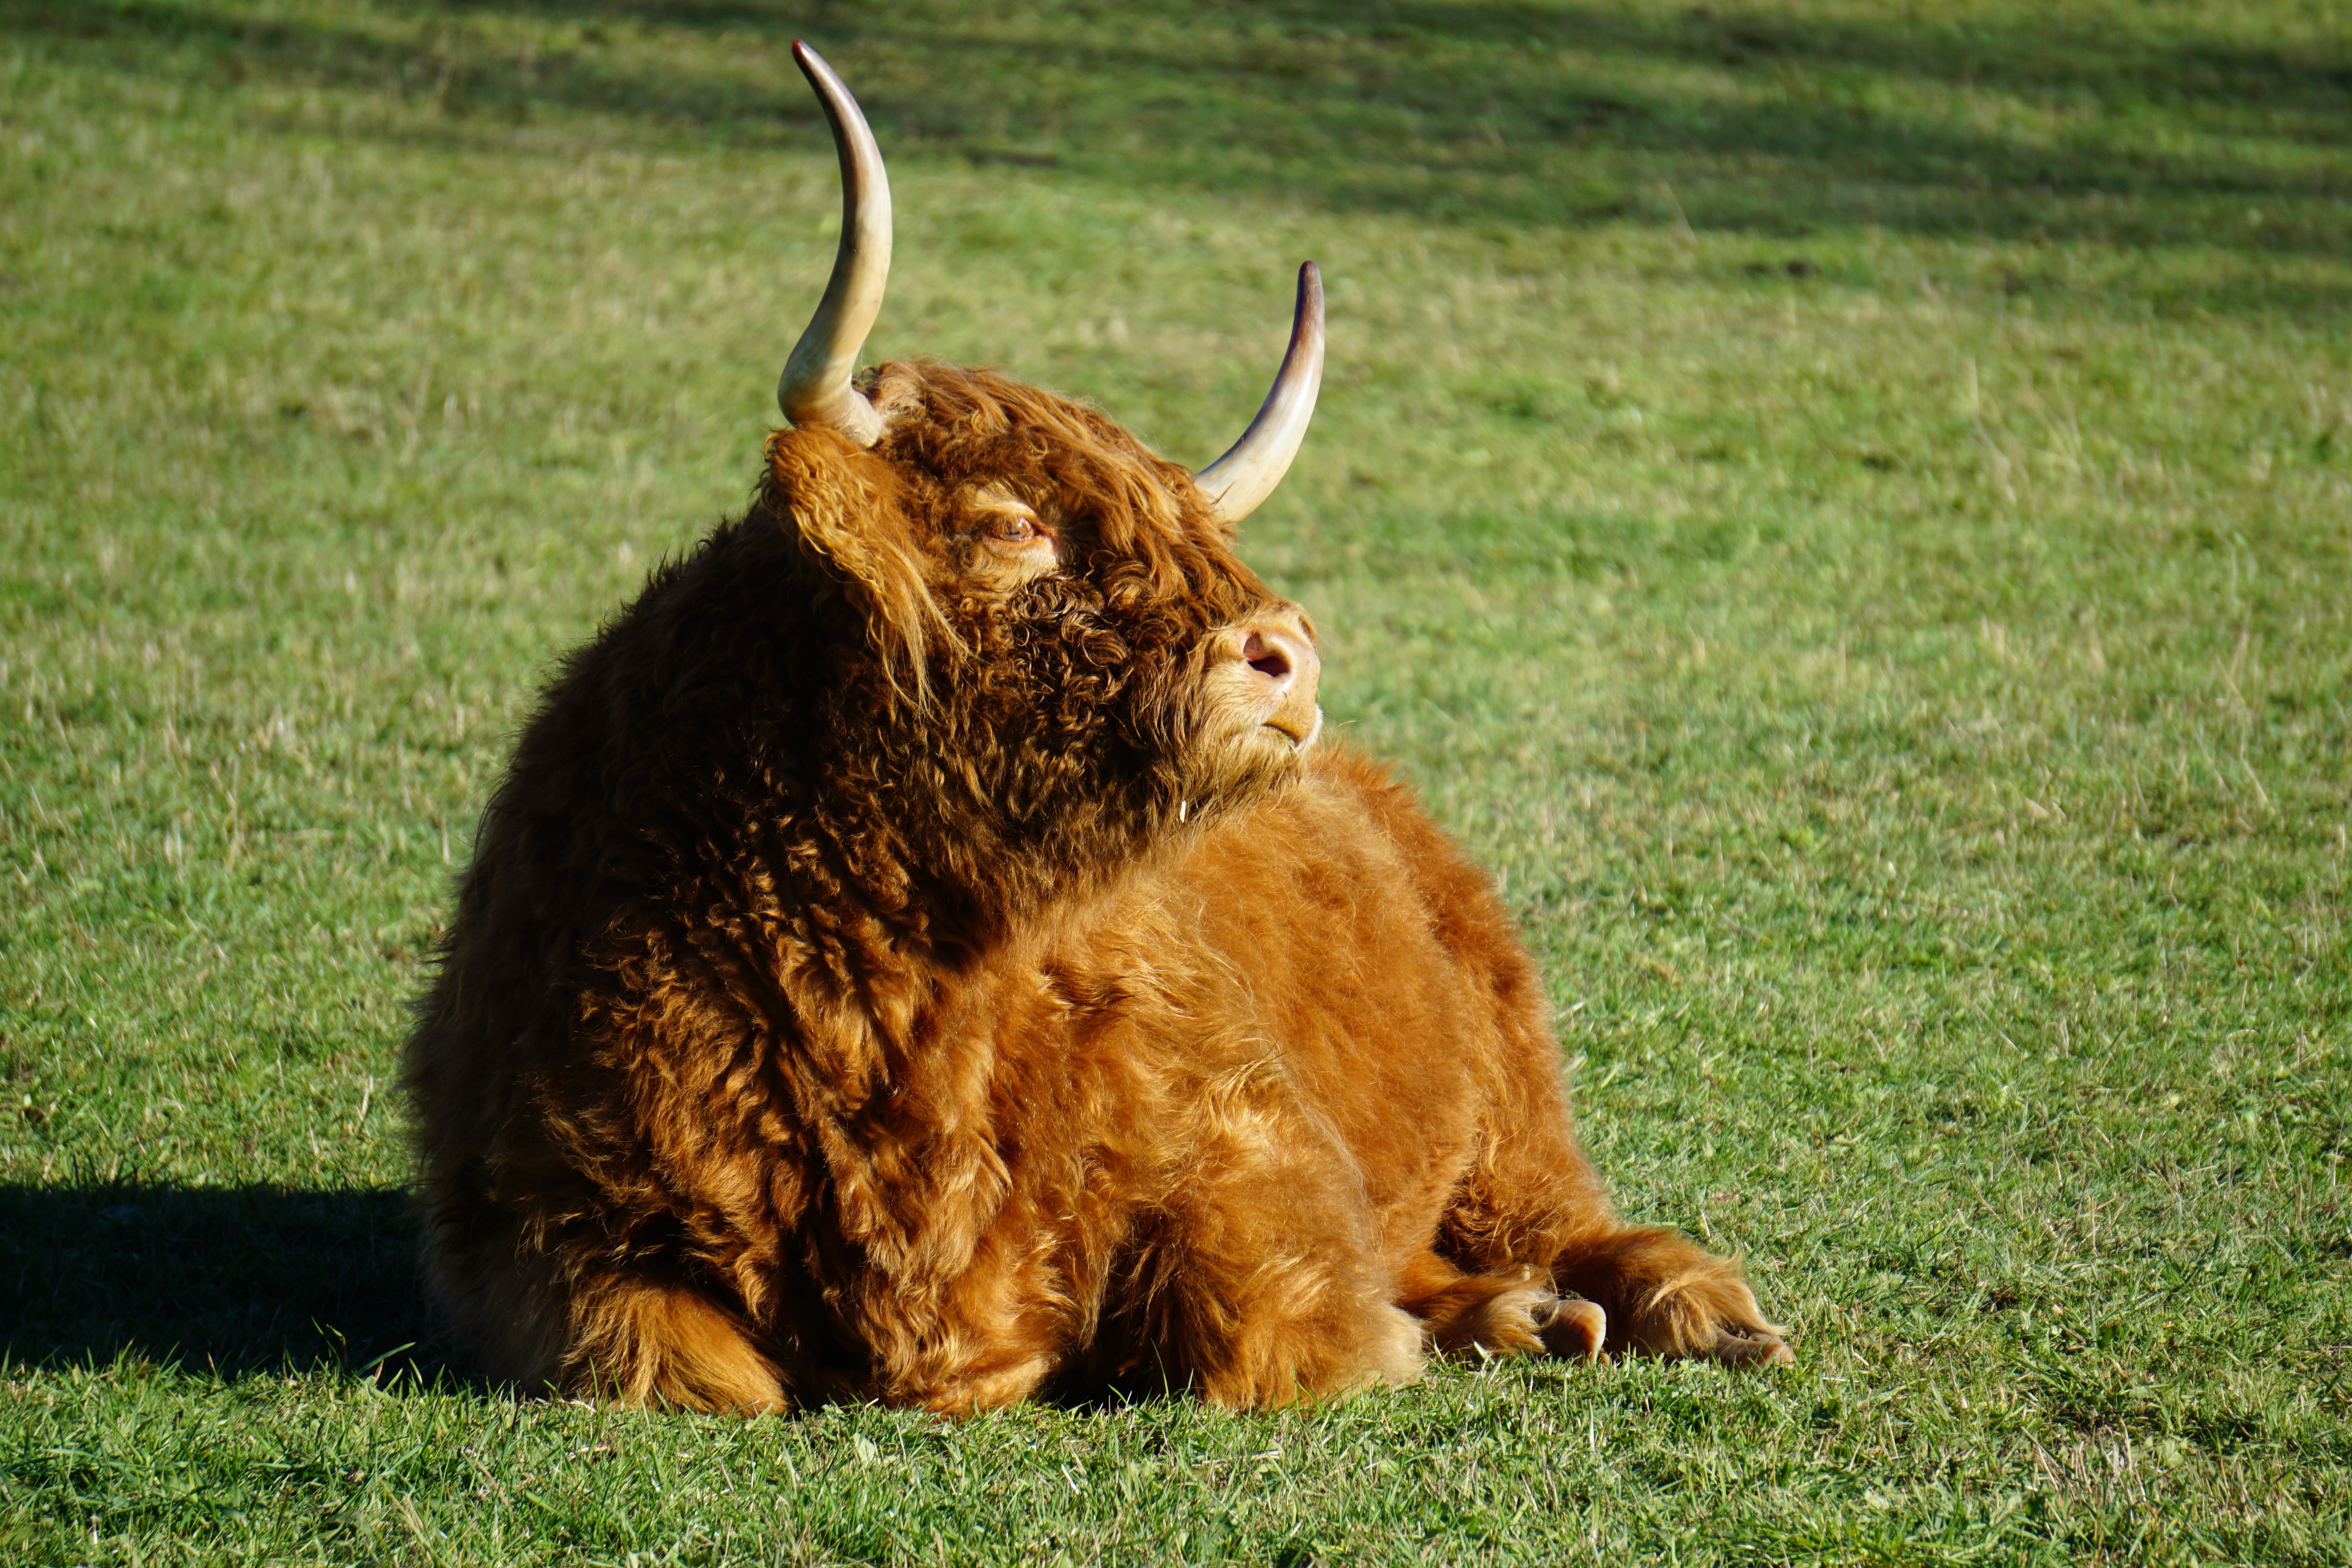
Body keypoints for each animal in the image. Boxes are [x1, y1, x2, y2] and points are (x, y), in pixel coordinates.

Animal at [400, 42, 1791, 1416]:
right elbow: (692, 1367)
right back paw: (1526, 1317)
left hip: (1510, 1089)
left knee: (1562, 1217)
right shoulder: (541, 1229)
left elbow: (1266, 1332)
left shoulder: (1252, 1148)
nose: (1283, 652)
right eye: (1010, 524)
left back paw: (1684, 1310)